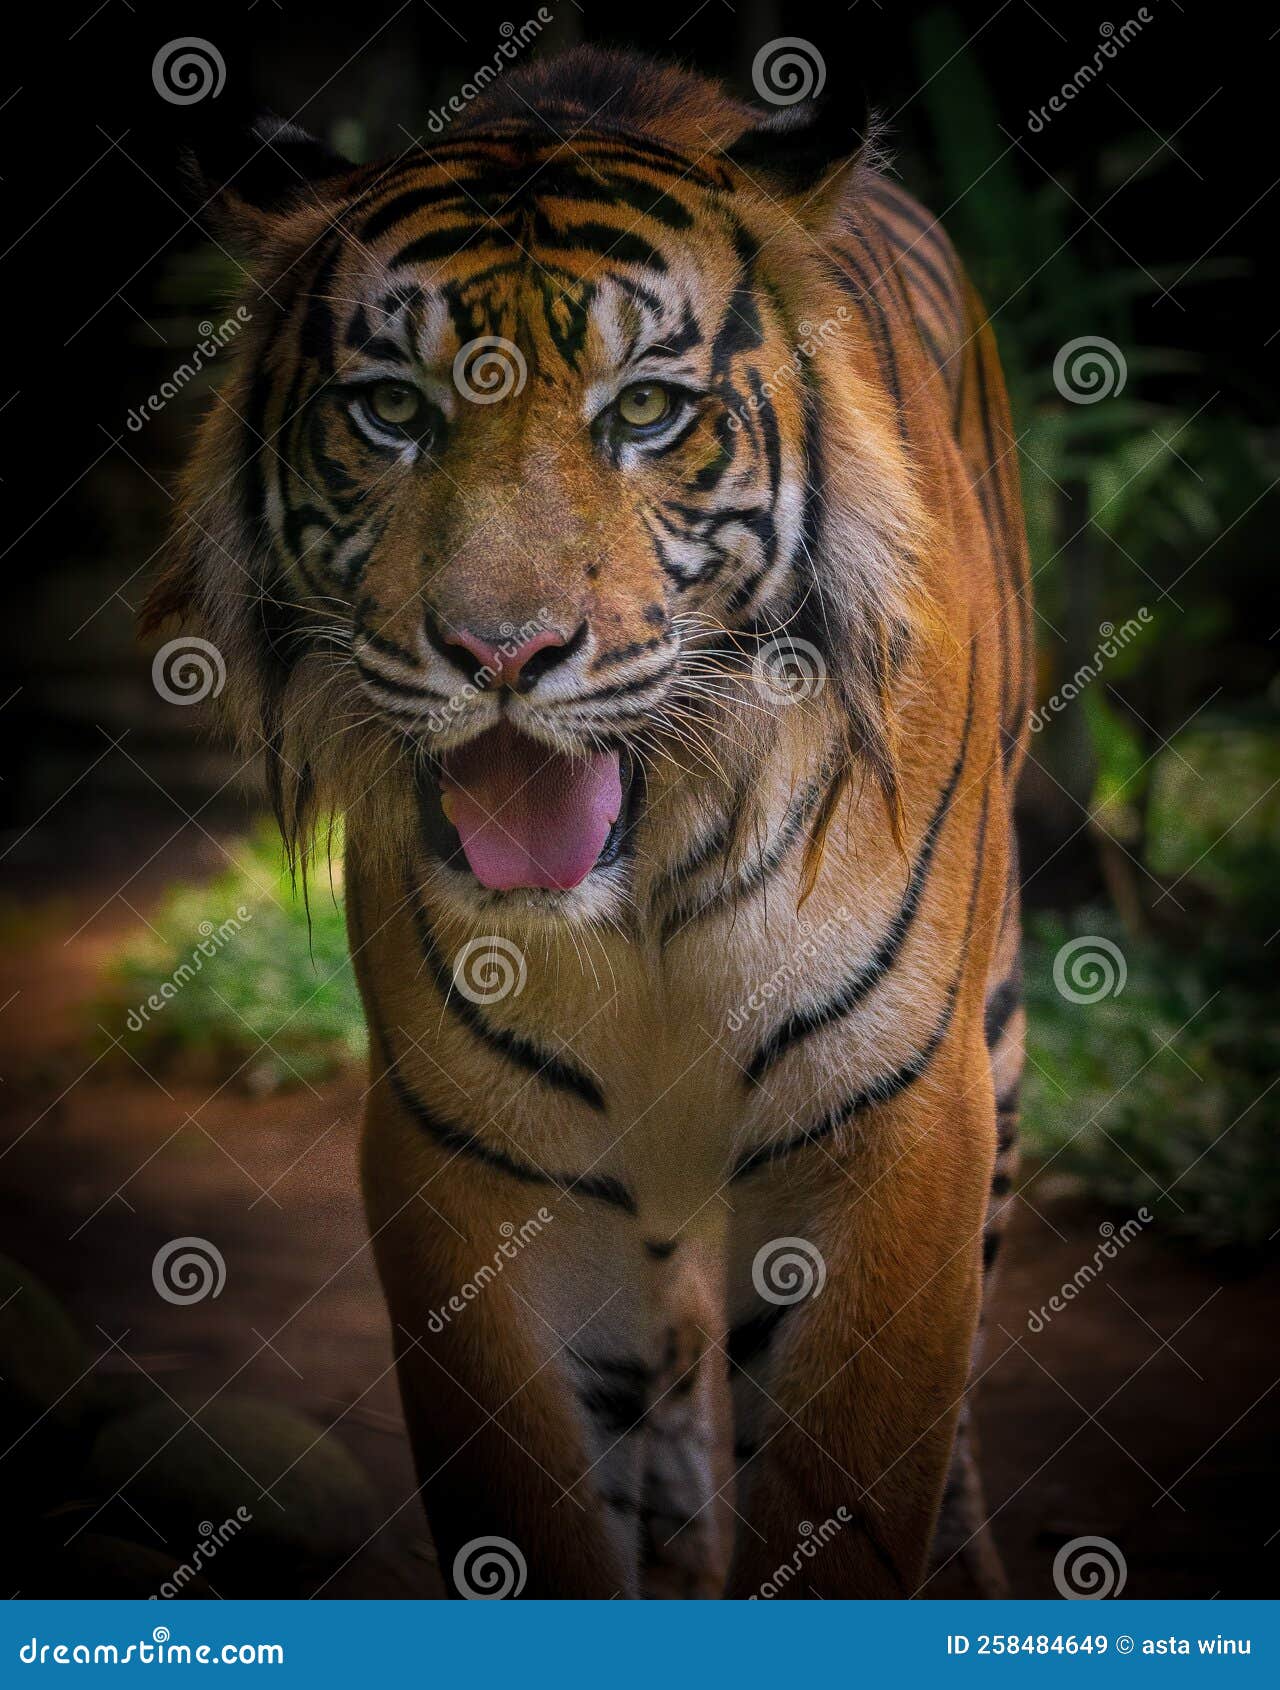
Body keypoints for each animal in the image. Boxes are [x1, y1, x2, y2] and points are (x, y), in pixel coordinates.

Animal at [144, 46, 1031, 1599]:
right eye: (392, 411)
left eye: (645, 411)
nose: (502, 652)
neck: (650, 887)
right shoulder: (468, 1159)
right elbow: (535, 1515)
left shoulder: (900, 1119)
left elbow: (850, 1497)